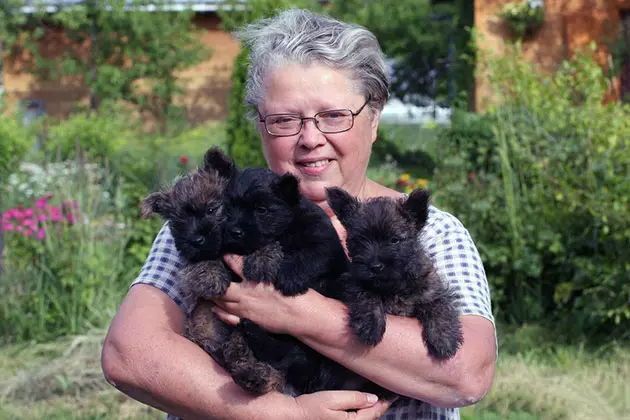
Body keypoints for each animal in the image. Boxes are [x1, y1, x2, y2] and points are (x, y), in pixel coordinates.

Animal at [328, 188, 466, 360]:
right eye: (359, 241)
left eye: (394, 240)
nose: (375, 266)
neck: (394, 286)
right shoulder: (352, 281)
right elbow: (366, 296)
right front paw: (370, 325)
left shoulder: (431, 290)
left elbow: (441, 307)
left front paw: (444, 338)